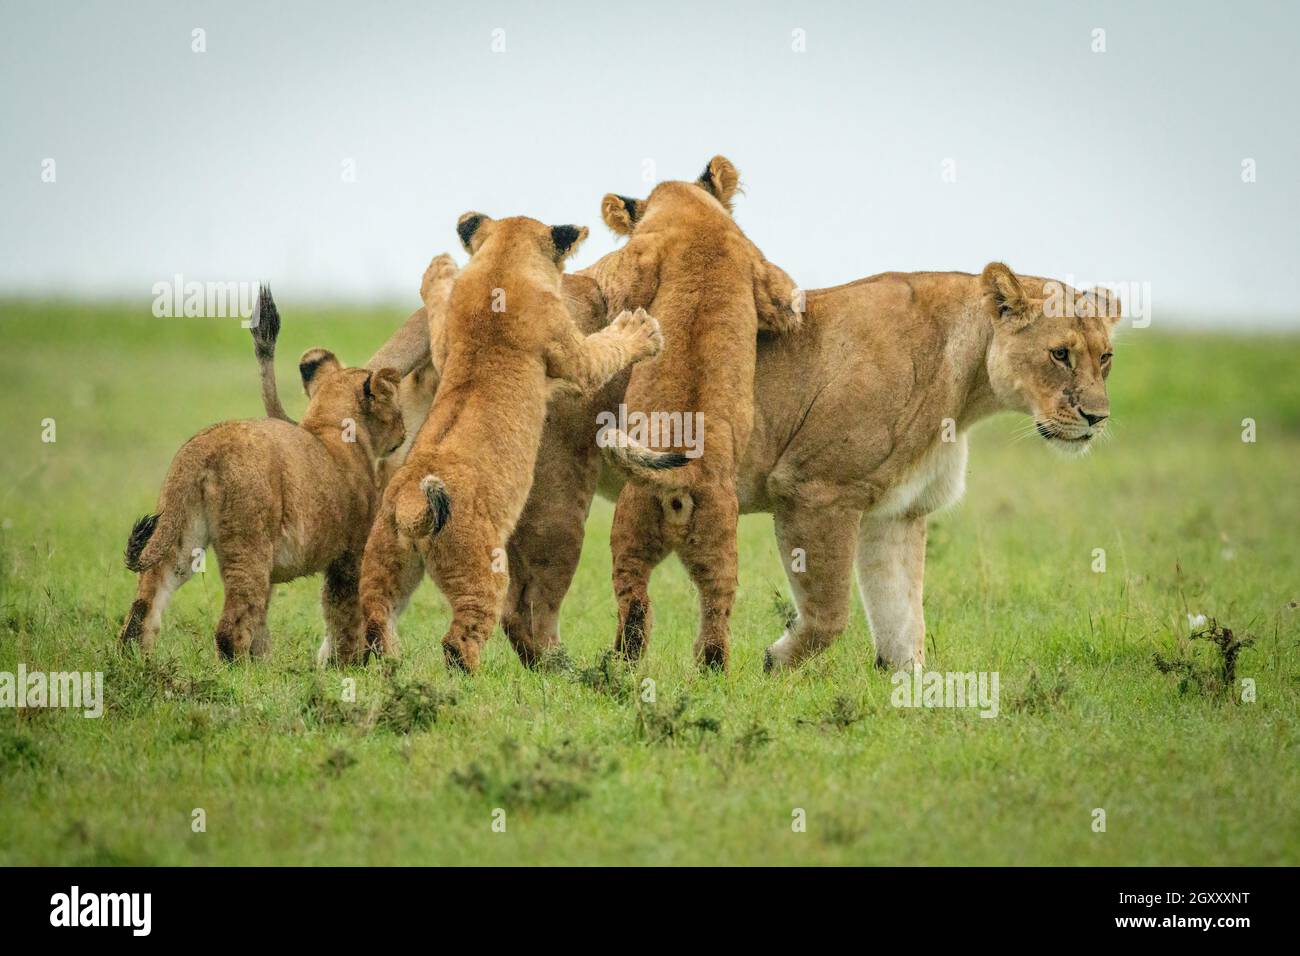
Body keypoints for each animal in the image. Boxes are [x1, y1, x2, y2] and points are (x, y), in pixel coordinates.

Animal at [120, 287, 405, 660]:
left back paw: (137, 660)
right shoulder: (349, 555)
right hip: (248, 542)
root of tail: (203, 447)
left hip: (178, 531)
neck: (329, 426)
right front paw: (348, 663)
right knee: (230, 625)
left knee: (146, 602)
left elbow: (267, 617)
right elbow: (343, 614)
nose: (404, 432)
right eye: (397, 408)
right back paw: (242, 671)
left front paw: (266, 657)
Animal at [350, 214, 675, 671]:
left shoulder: (447, 341)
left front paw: (439, 270)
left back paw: (393, 666)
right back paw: (469, 679)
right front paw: (641, 330)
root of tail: (412, 509)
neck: (501, 267)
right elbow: (603, 352)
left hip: (384, 563)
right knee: (459, 640)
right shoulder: (570, 347)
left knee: (378, 623)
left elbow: (438, 312)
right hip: (481, 570)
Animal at [590, 155, 802, 670]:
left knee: (659, 608)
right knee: (691, 606)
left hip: (637, 528)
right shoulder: (762, 271)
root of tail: (680, 483)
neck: (693, 214)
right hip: (695, 536)